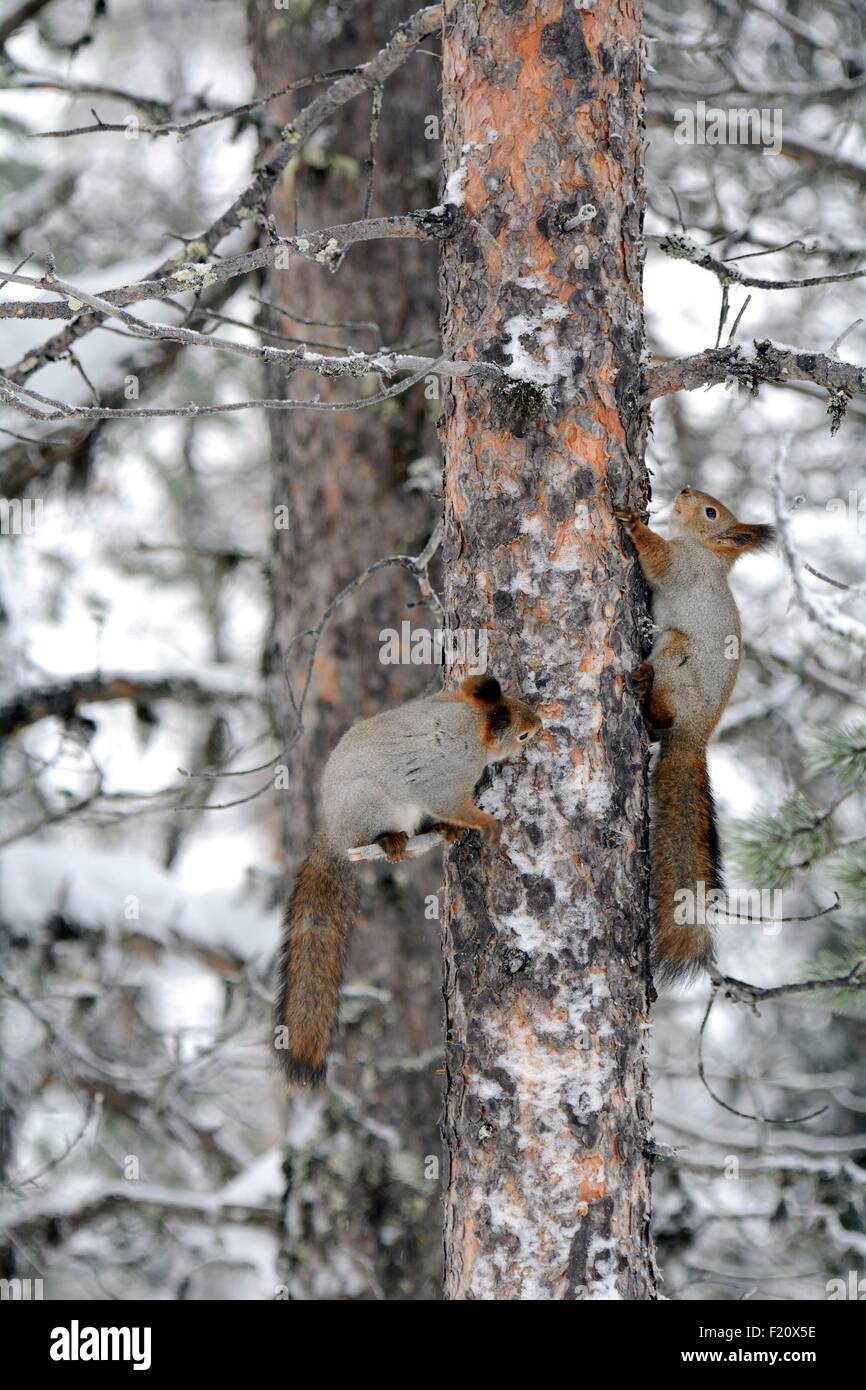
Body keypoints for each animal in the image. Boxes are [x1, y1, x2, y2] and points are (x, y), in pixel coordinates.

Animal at [274, 673, 541, 1086]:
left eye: (519, 701)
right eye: (523, 735)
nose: (541, 725)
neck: (467, 722)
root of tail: (334, 833)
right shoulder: (447, 780)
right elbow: (454, 804)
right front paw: (488, 825)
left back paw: (440, 831)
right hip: (371, 806)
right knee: (374, 838)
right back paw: (392, 840)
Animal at [615, 487, 774, 985]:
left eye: (710, 511)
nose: (684, 490)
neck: (706, 552)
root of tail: (692, 738)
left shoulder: (683, 567)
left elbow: (659, 559)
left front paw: (633, 521)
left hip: (676, 653)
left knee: (663, 711)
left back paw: (646, 690)